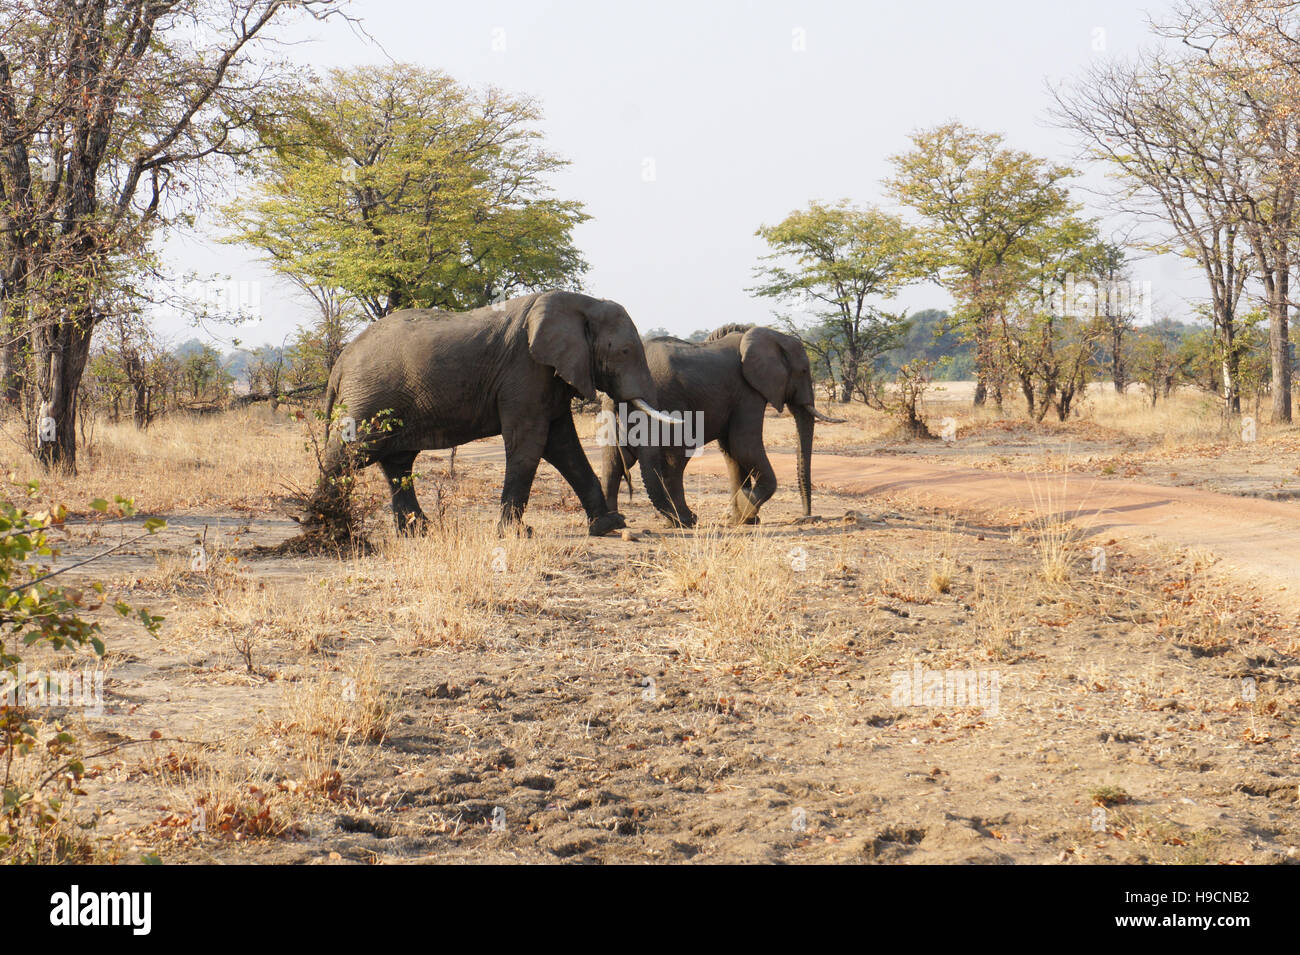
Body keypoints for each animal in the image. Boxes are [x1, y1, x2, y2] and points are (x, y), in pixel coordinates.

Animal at [315, 290, 683, 536]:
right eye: (625, 352)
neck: (581, 303)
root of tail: (340, 363)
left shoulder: (549, 375)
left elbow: (563, 445)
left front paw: (608, 526)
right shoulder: (525, 370)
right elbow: (530, 443)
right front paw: (516, 535)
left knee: (396, 462)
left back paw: (419, 532)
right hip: (370, 397)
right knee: (351, 452)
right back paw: (323, 529)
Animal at [600, 323, 842, 526]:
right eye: (803, 371)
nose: (807, 516)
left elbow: (732, 453)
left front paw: (742, 518)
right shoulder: (748, 392)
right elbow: (744, 446)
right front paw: (747, 508)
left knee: (615, 460)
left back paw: (617, 521)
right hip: (668, 403)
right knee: (674, 461)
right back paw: (685, 521)